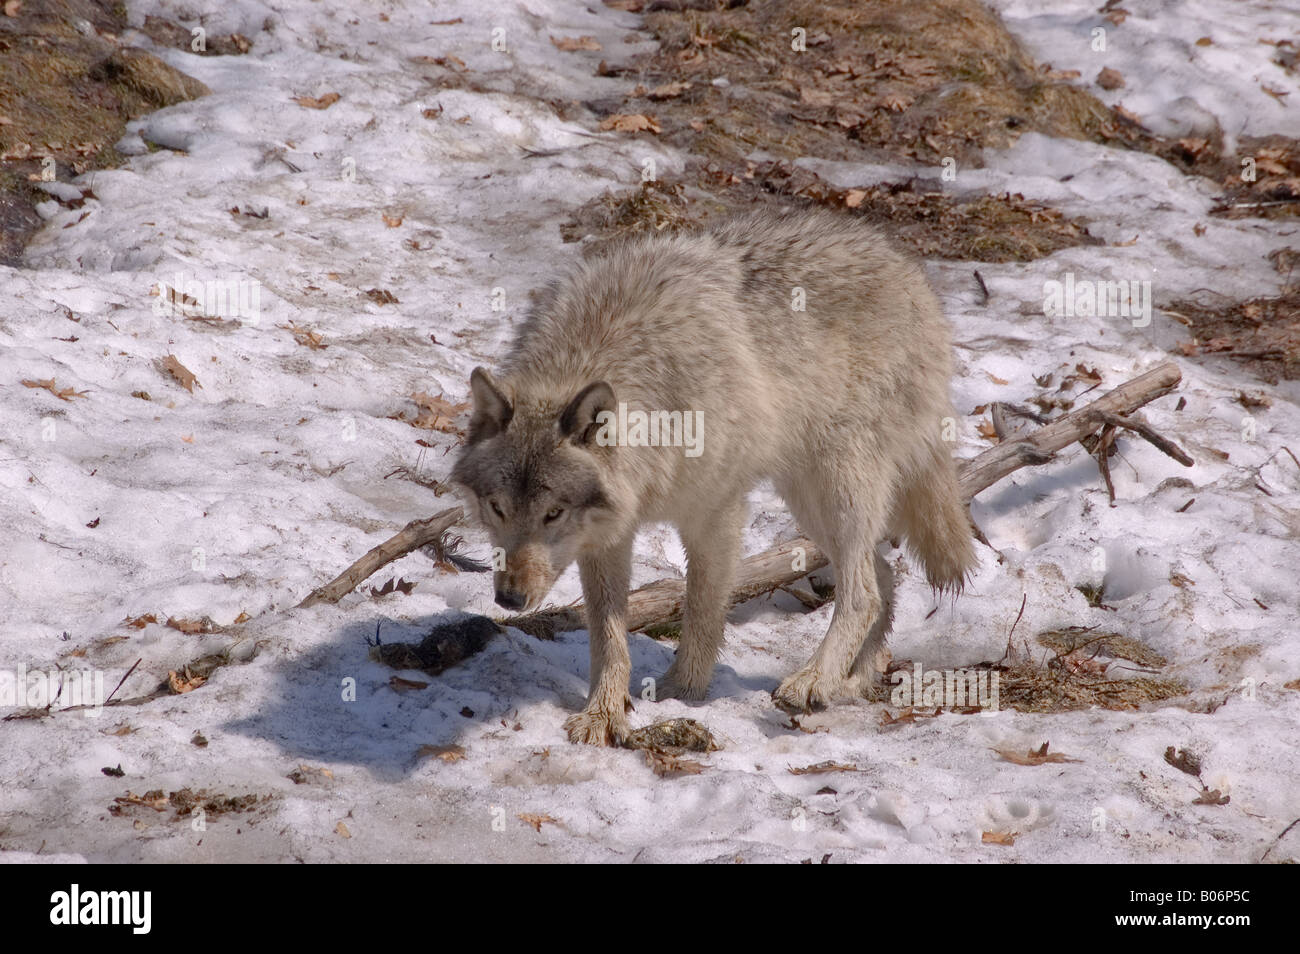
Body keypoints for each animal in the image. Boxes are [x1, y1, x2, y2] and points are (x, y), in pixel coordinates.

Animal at [450, 207, 977, 746]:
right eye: (498, 508)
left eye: (553, 513)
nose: (509, 598)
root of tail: (913, 277)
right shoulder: (607, 534)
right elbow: (607, 634)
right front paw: (604, 713)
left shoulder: (716, 512)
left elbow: (702, 607)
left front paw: (682, 690)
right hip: (808, 502)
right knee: (884, 577)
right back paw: (850, 682)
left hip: (836, 487)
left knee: (863, 593)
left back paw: (813, 681)